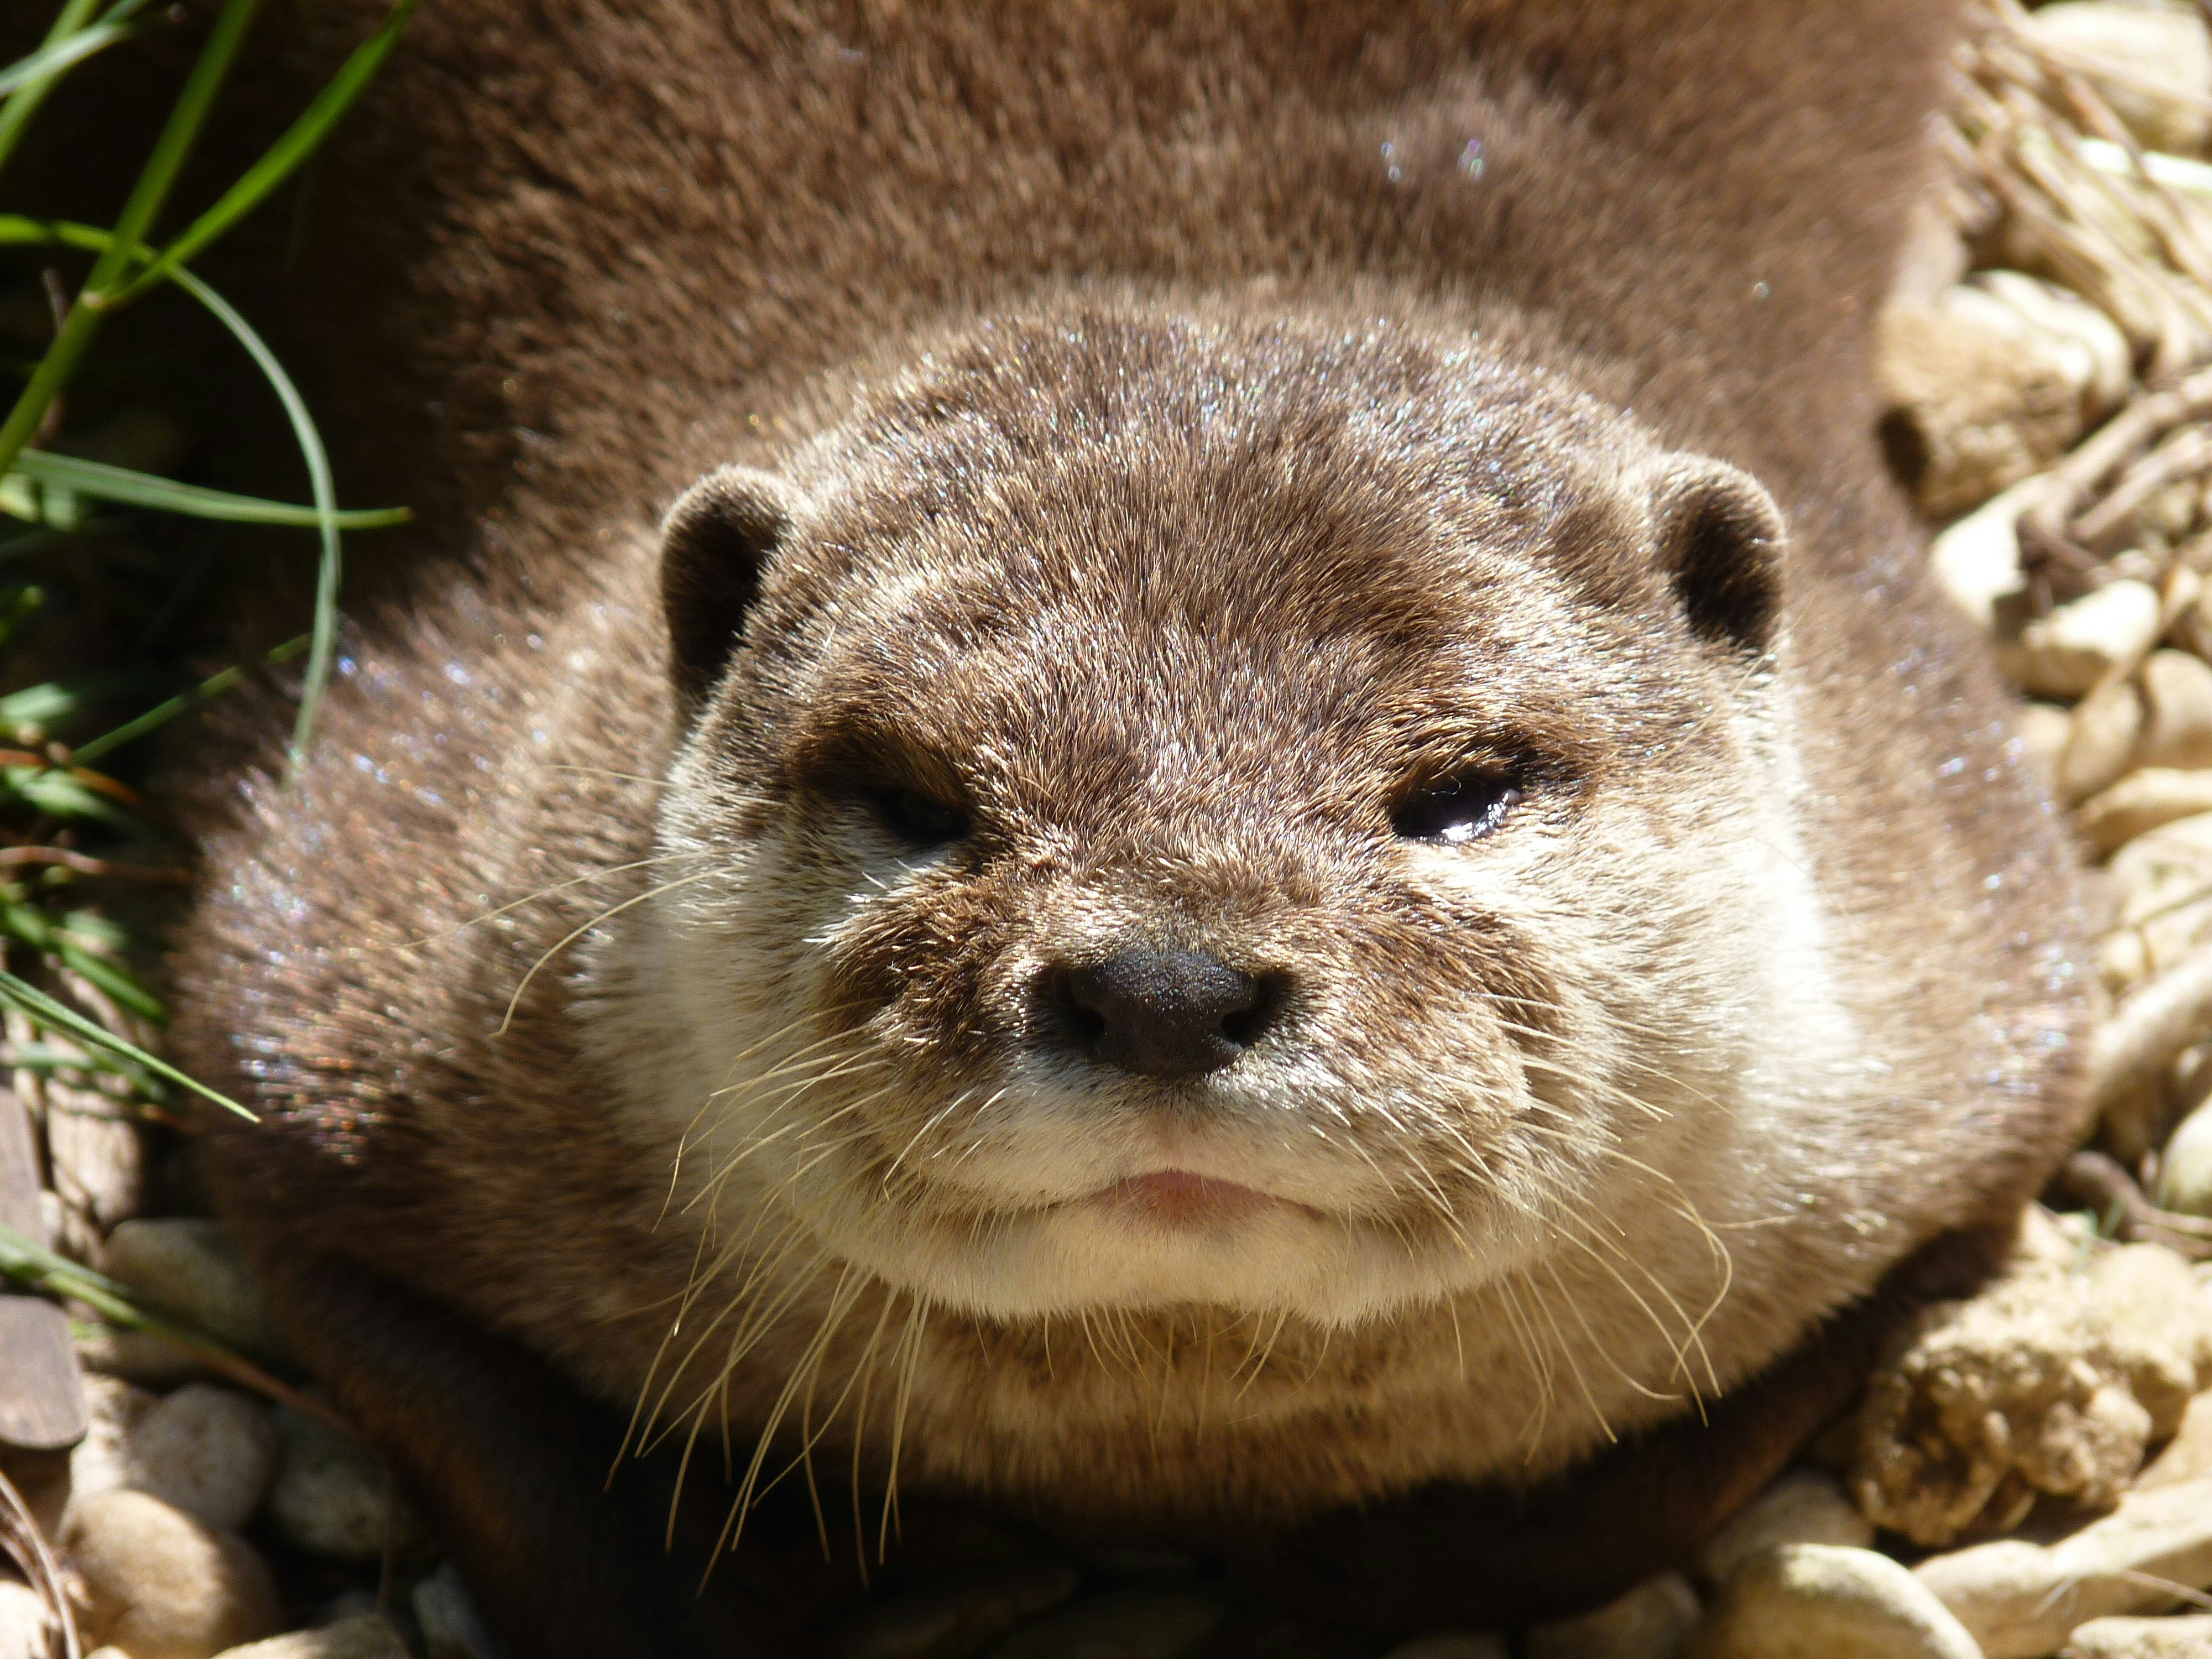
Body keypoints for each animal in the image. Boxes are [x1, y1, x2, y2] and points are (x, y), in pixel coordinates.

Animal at [172, 3, 2094, 1654]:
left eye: (1460, 788)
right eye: (917, 795)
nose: (1166, 987)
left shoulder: (1964, 1021)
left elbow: (1672, 1463)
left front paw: (1352, 1570)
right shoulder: (351, 941)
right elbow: (491, 1447)